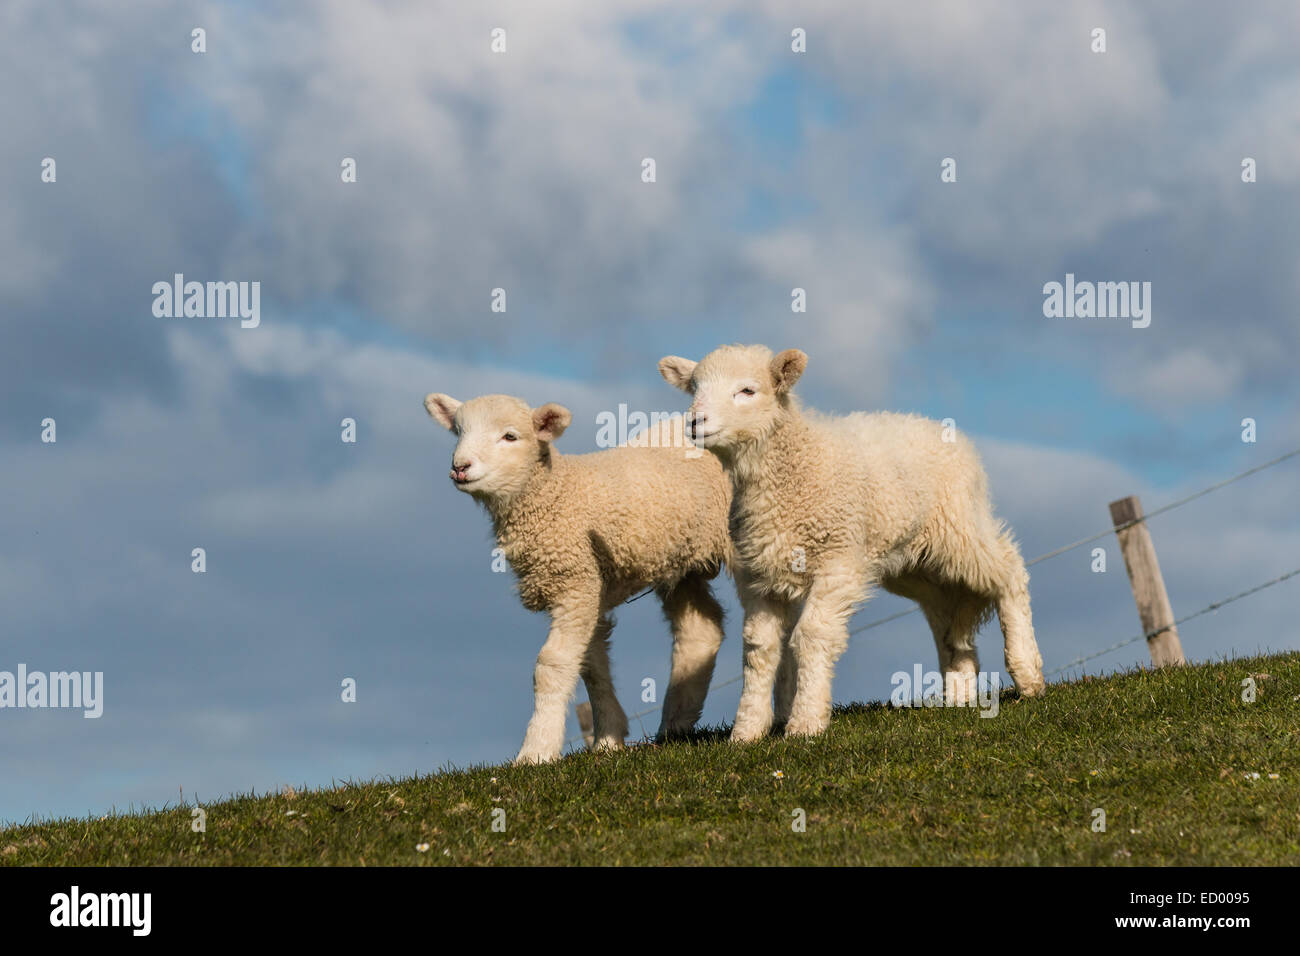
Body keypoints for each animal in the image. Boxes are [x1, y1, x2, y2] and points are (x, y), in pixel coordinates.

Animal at [423, 392, 732, 764]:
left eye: (510, 436)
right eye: (459, 432)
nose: (461, 466)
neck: (558, 494)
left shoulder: (575, 582)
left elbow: (551, 665)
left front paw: (537, 750)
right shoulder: (585, 587)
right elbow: (591, 667)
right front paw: (608, 740)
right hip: (681, 561)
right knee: (701, 630)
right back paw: (675, 723)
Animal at [657, 344, 1046, 742]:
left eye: (747, 390)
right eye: (694, 389)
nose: (695, 422)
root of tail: (941, 429)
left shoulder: (838, 562)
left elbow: (810, 636)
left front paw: (805, 722)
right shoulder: (760, 576)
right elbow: (758, 648)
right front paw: (747, 730)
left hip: (958, 527)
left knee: (1009, 569)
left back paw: (1027, 672)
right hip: (914, 561)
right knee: (945, 613)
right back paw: (959, 692)